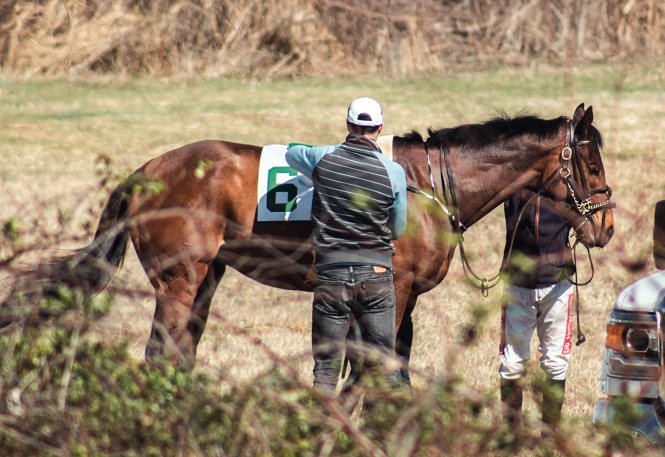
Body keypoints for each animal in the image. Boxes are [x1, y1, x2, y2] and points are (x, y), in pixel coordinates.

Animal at [19, 103, 614, 383]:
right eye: (590, 164)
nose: (605, 226)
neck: (424, 184)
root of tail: (147, 171)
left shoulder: (396, 296)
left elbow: (388, 358)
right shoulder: (391, 289)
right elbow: (374, 360)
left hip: (207, 278)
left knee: (183, 350)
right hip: (179, 281)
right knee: (161, 352)